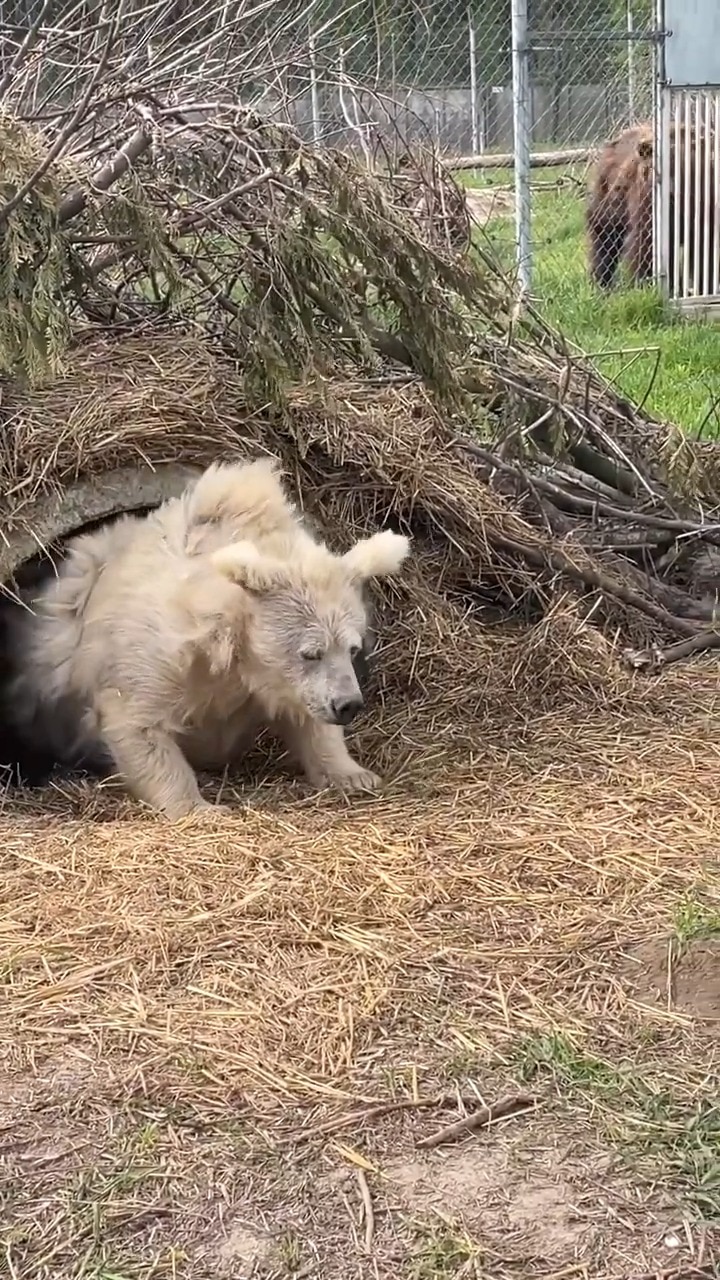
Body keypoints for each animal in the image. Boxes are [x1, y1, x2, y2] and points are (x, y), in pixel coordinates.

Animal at [2, 457, 411, 820]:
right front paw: (199, 808)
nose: (348, 705)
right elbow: (136, 720)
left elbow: (308, 720)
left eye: (353, 647)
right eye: (311, 652)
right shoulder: (158, 652)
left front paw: (355, 775)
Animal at [586, 118, 718, 293]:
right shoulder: (648, 207)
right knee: (604, 237)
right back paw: (602, 281)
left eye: (683, 166)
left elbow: (704, 251)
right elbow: (646, 245)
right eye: (662, 167)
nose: (670, 189)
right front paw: (647, 282)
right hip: (609, 199)